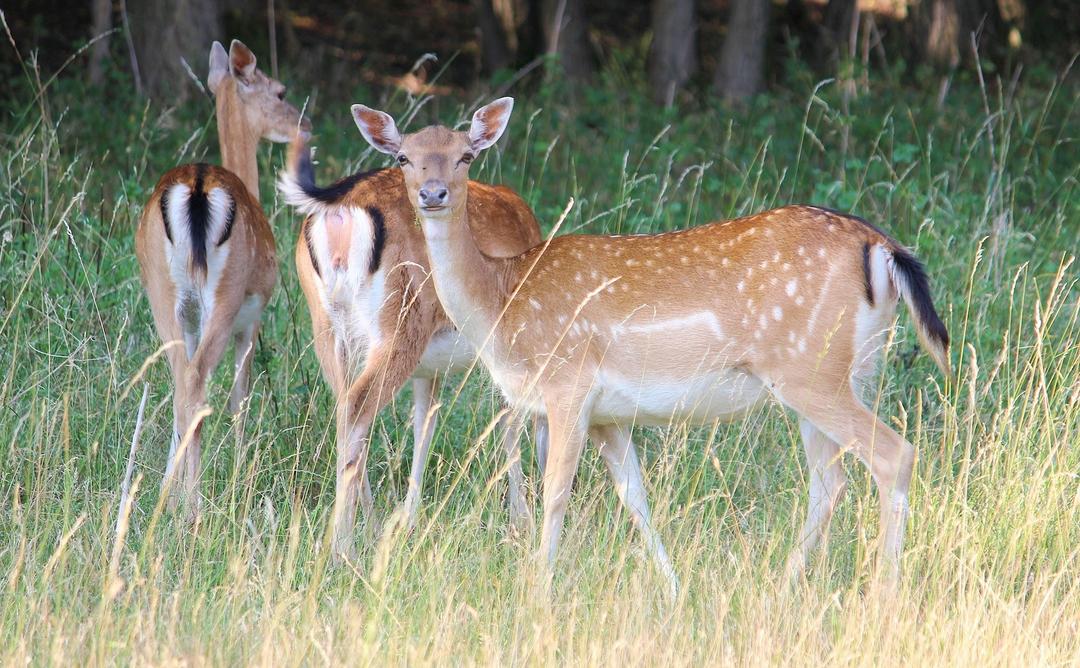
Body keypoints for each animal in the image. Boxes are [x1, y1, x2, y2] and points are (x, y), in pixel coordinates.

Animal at [135, 40, 309, 521]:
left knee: (181, 382)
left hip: (163, 294)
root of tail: (196, 185)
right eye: (280, 91)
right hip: (226, 294)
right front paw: (240, 474)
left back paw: (171, 499)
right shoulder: (253, 315)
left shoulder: (193, 319)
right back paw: (194, 508)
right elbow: (239, 400)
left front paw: (171, 487)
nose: (305, 124)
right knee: (197, 384)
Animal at [277, 127, 548, 560]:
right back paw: (342, 546)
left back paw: (367, 528)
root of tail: (340, 212)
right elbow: (512, 423)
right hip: (399, 326)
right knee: (358, 407)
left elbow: (425, 424)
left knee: (346, 410)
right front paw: (522, 520)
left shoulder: (429, 370)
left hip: (328, 328)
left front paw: (410, 518)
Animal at [349, 97, 951, 596]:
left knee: (893, 456)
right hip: (845, 372)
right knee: (830, 481)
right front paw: (675, 589)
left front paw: (538, 593)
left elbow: (556, 493)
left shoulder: (568, 384)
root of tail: (883, 248)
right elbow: (634, 497)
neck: (504, 303)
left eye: (467, 156)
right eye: (403, 157)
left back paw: (882, 595)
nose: (432, 194)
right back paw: (782, 588)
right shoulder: (608, 415)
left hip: (812, 372)